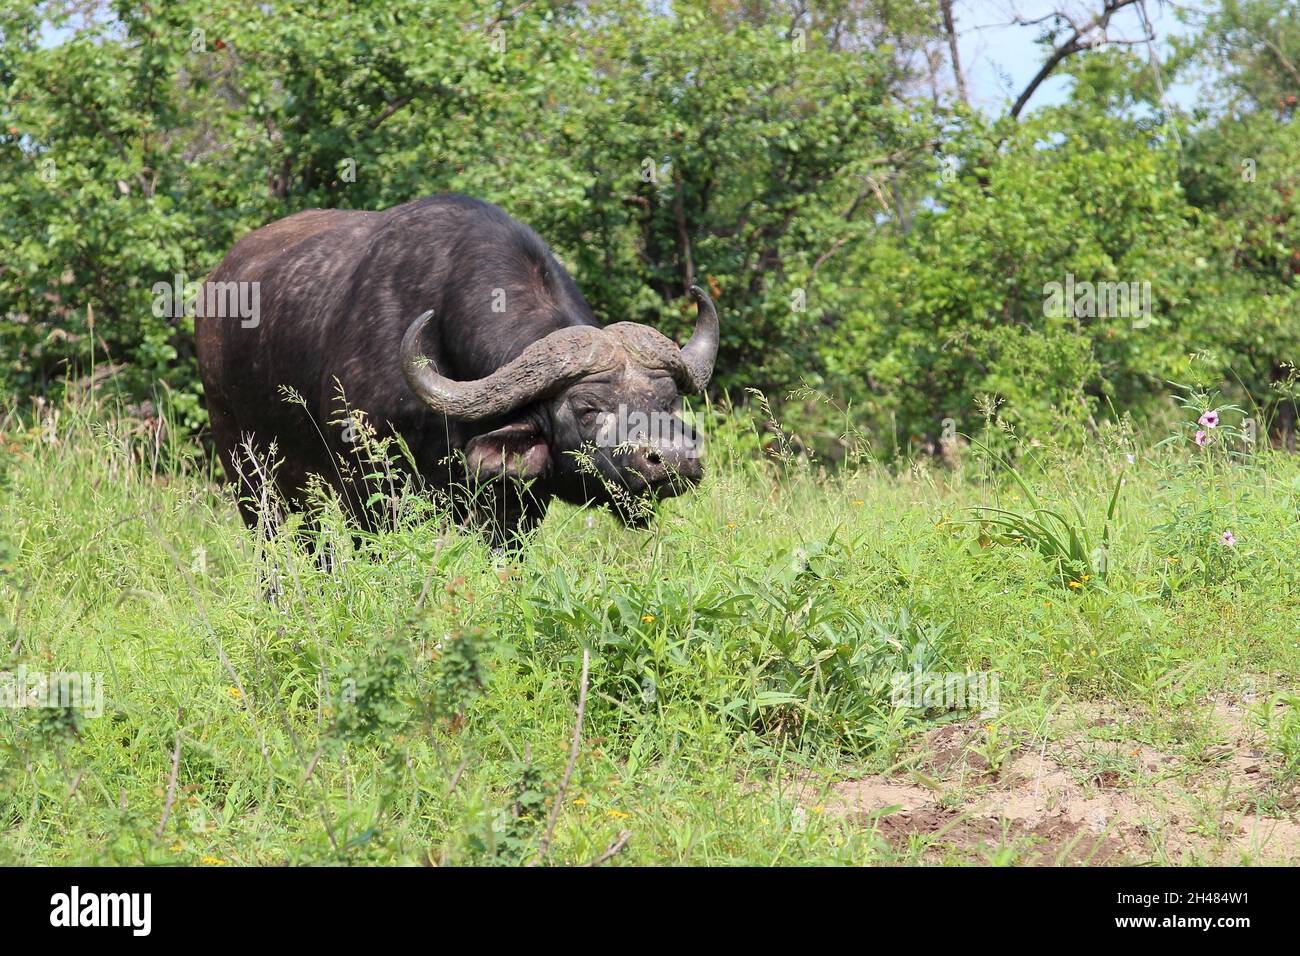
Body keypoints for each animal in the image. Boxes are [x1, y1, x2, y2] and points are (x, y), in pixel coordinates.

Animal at [195, 194, 718, 543]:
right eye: (587, 409)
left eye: (668, 401)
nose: (673, 457)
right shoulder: (368, 493)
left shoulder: (514, 507)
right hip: (247, 470)